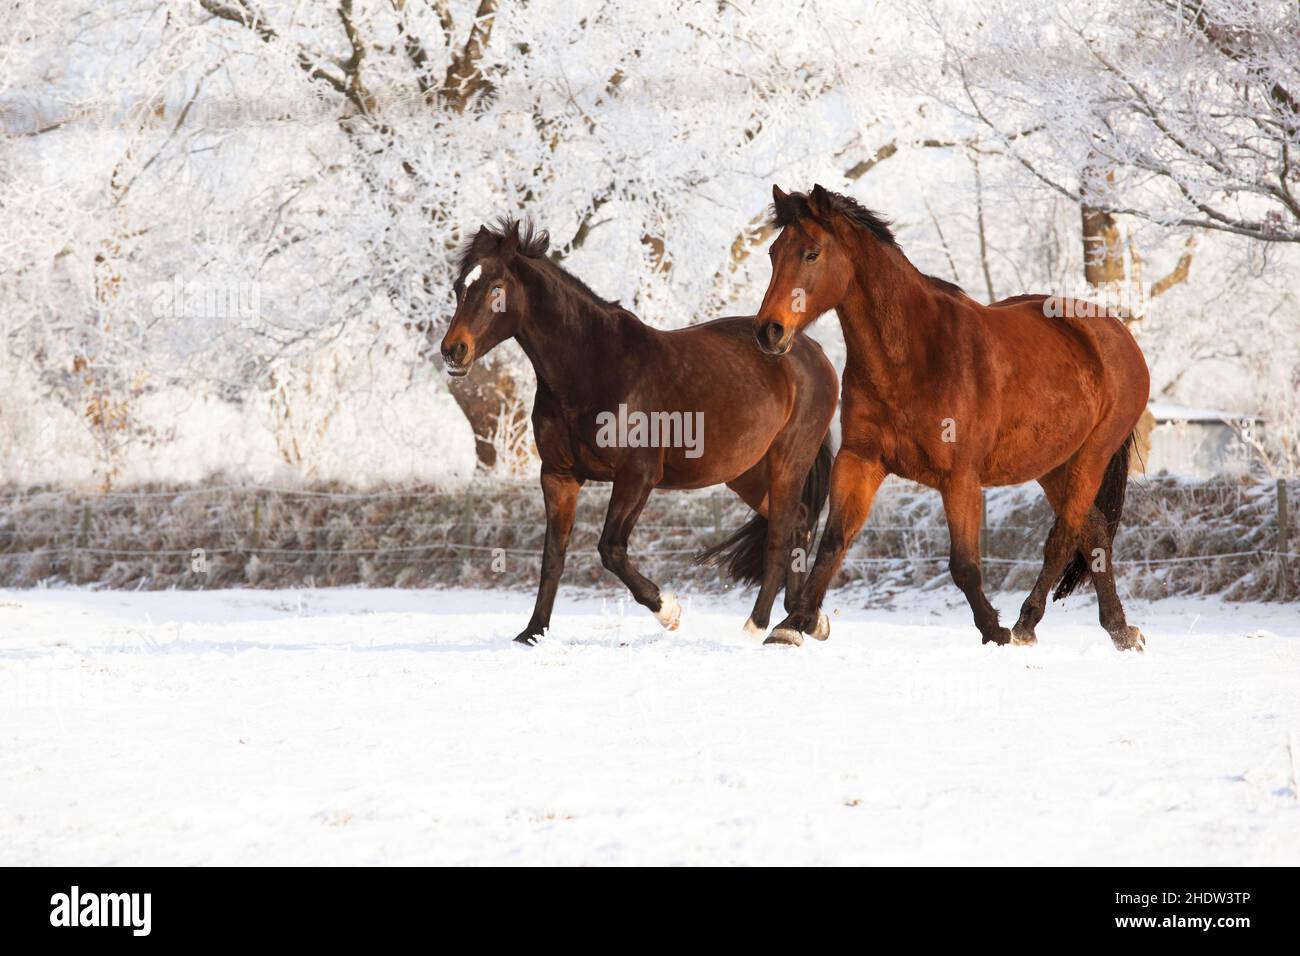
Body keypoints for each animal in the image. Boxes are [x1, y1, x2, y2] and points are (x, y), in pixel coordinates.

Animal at [438, 218, 838, 644]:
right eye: (459, 286)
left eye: (496, 288)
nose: (453, 351)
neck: (594, 367)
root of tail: (810, 351)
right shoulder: (559, 476)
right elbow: (553, 556)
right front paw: (532, 633)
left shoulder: (637, 476)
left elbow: (610, 548)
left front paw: (669, 610)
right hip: (747, 474)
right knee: (798, 523)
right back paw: (800, 623)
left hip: (787, 461)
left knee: (780, 534)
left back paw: (760, 626)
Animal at [751, 185, 1150, 651]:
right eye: (774, 252)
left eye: (811, 253)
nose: (769, 331)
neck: (913, 354)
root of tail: (1116, 334)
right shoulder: (860, 460)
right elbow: (834, 541)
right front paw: (794, 624)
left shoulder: (959, 478)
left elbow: (964, 565)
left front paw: (993, 630)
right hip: (1054, 466)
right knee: (1095, 532)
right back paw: (1120, 630)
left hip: (1091, 457)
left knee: (1063, 538)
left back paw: (1025, 624)